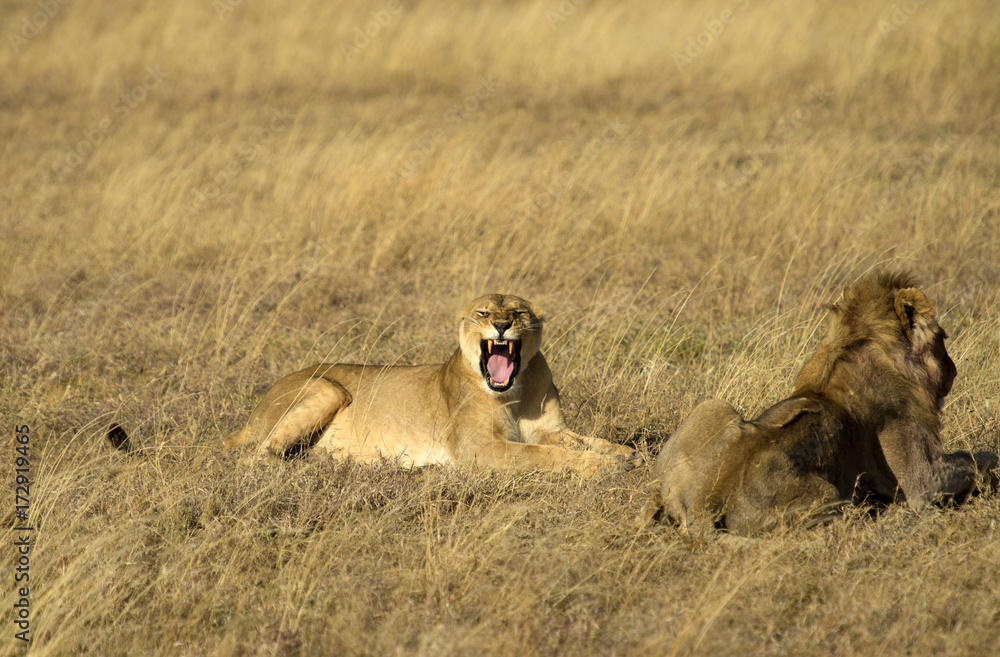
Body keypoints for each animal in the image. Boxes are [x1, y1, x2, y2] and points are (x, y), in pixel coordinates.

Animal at [224, 293, 636, 476]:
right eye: (483, 312)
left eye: (518, 313)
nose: (501, 325)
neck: (515, 392)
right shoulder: (479, 449)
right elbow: (546, 456)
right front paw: (603, 467)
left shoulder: (552, 430)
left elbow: (587, 441)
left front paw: (626, 453)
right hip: (329, 388)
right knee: (256, 457)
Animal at [646, 270, 998, 536]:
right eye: (943, 339)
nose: (953, 370)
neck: (861, 345)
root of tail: (702, 508)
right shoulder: (921, 481)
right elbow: (974, 460)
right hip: (831, 497)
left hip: (714, 406)